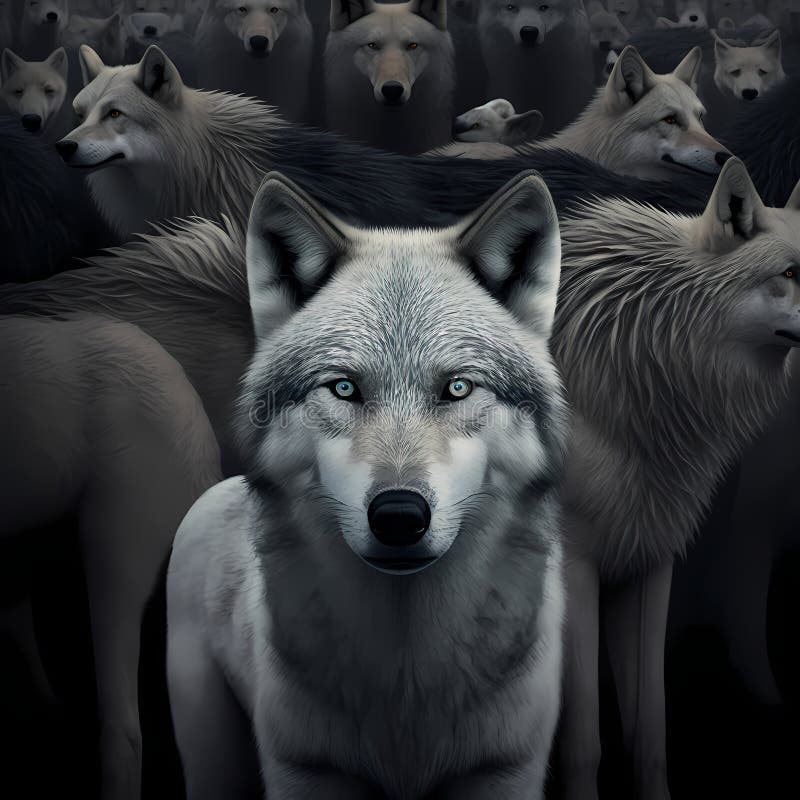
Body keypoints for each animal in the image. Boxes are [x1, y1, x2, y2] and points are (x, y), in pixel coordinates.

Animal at [166, 169, 568, 800]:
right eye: (344, 388)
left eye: (458, 388)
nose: (399, 514)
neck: (405, 678)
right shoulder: (306, 770)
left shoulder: (503, 770)